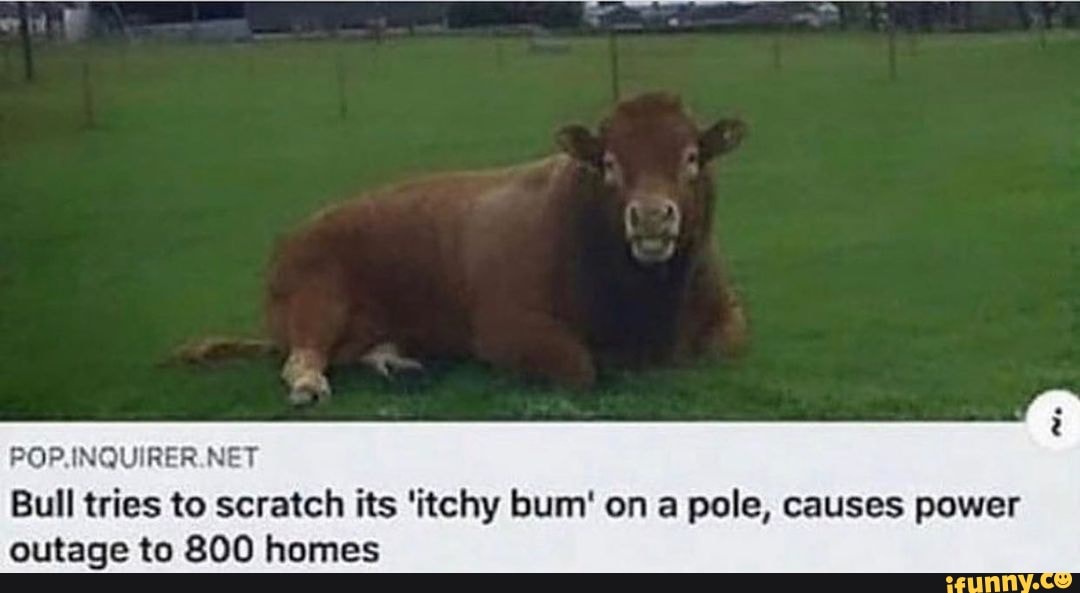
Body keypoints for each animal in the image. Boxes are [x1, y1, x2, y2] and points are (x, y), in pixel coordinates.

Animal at [176, 92, 749, 406]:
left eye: (691, 157)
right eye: (609, 163)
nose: (650, 216)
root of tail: (296, 234)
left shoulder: (728, 318)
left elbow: (725, 347)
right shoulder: (507, 329)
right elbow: (579, 367)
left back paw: (398, 363)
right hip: (317, 299)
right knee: (303, 356)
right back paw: (311, 386)